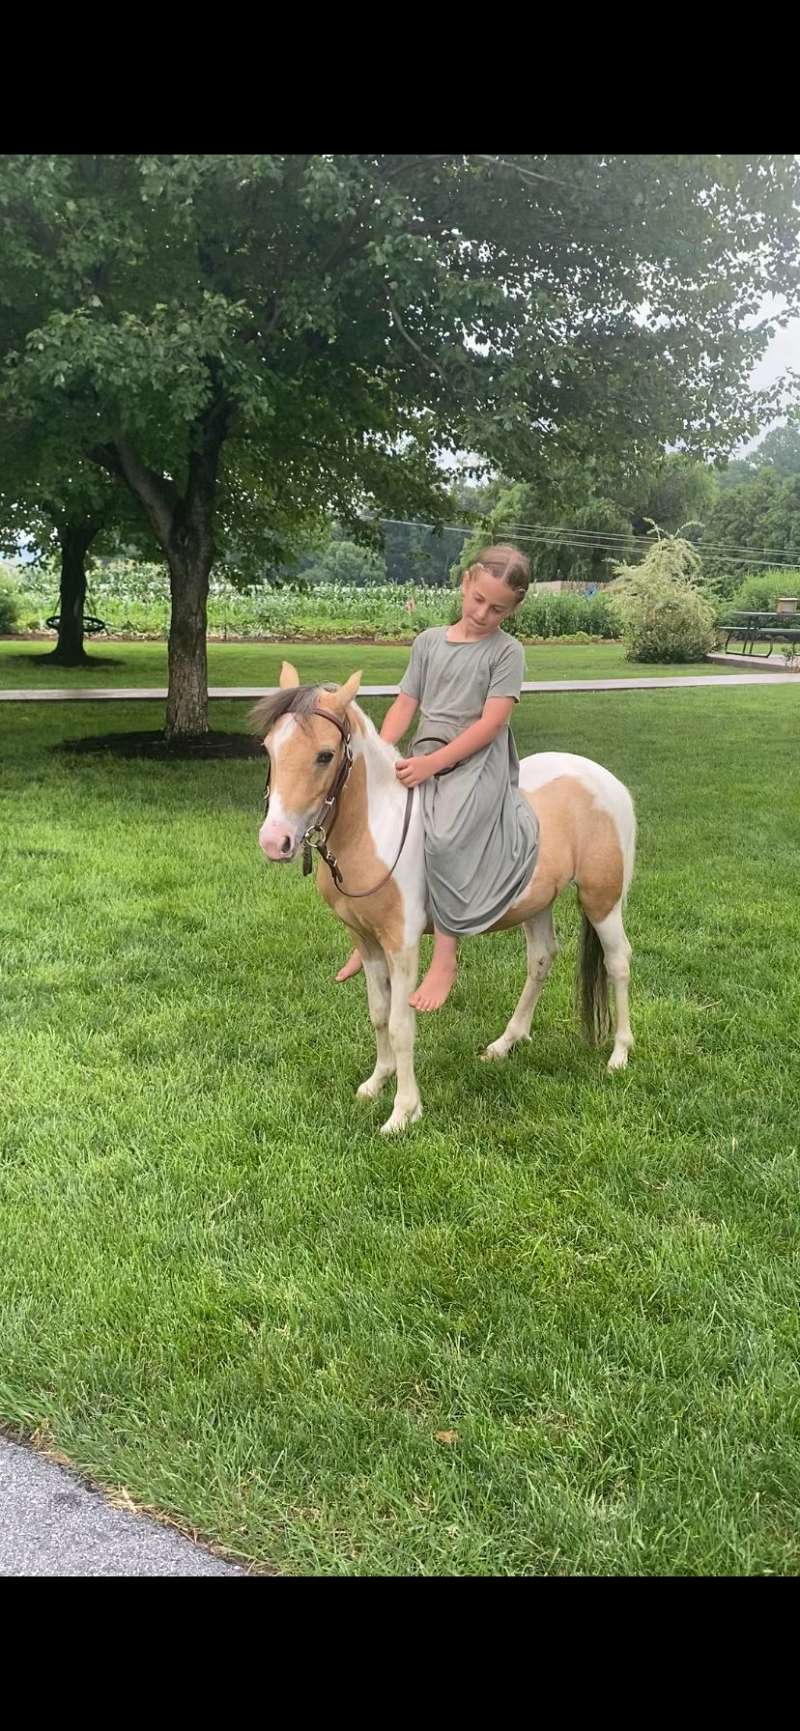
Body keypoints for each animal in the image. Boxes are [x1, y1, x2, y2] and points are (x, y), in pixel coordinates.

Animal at [254, 662, 636, 1134]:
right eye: (269, 748)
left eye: (325, 755)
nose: (275, 842)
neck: (375, 829)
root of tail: (607, 781)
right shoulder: (366, 941)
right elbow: (378, 1013)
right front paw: (376, 1083)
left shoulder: (402, 944)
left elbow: (401, 1025)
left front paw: (403, 1111)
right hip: (537, 903)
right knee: (541, 960)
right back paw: (505, 1043)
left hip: (603, 901)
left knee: (618, 962)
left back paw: (619, 1054)